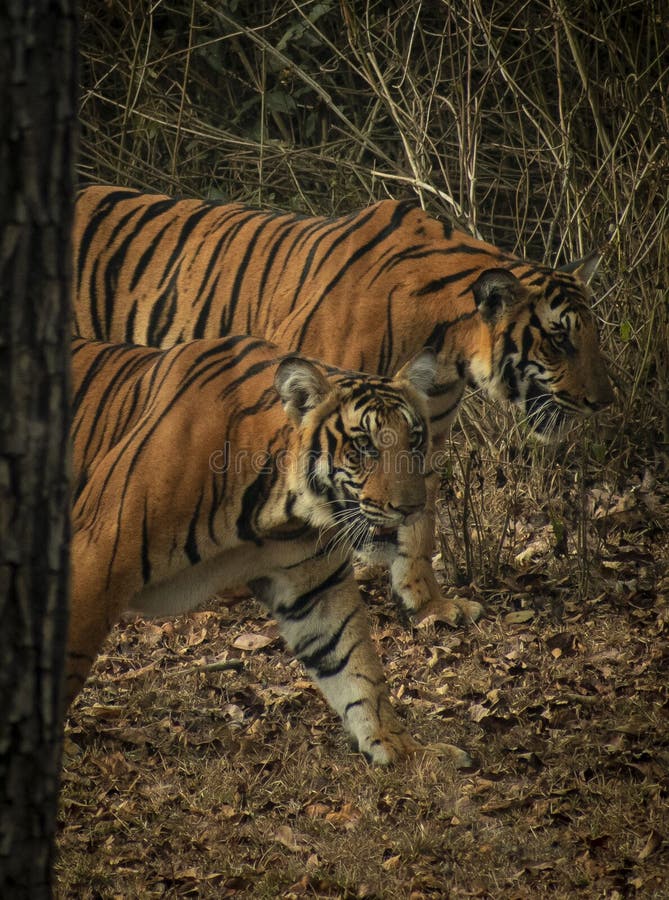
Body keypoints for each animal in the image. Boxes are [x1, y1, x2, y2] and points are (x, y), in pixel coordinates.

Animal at [69, 333, 438, 764]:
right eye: (364, 446)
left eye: (415, 440)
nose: (412, 508)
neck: (278, 508)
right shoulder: (95, 558)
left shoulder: (316, 589)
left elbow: (355, 664)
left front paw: (403, 749)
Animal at [73, 187, 615, 624]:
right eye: (560, 340)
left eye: (594, 335)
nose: (605, 402)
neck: (447, 347)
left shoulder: (420, 439)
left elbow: (418, 526)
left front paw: (430, 605)